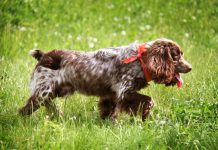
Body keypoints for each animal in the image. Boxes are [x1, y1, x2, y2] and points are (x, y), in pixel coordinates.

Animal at [19, 38, 192, 120]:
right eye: (176, 56)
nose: (190, 67)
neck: (141, 60)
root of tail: (45, 56)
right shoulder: (124, 92)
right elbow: (149, 100)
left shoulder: (112, 96)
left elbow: (110, 113)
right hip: (43, 92)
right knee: (24, 110)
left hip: (52, 92)